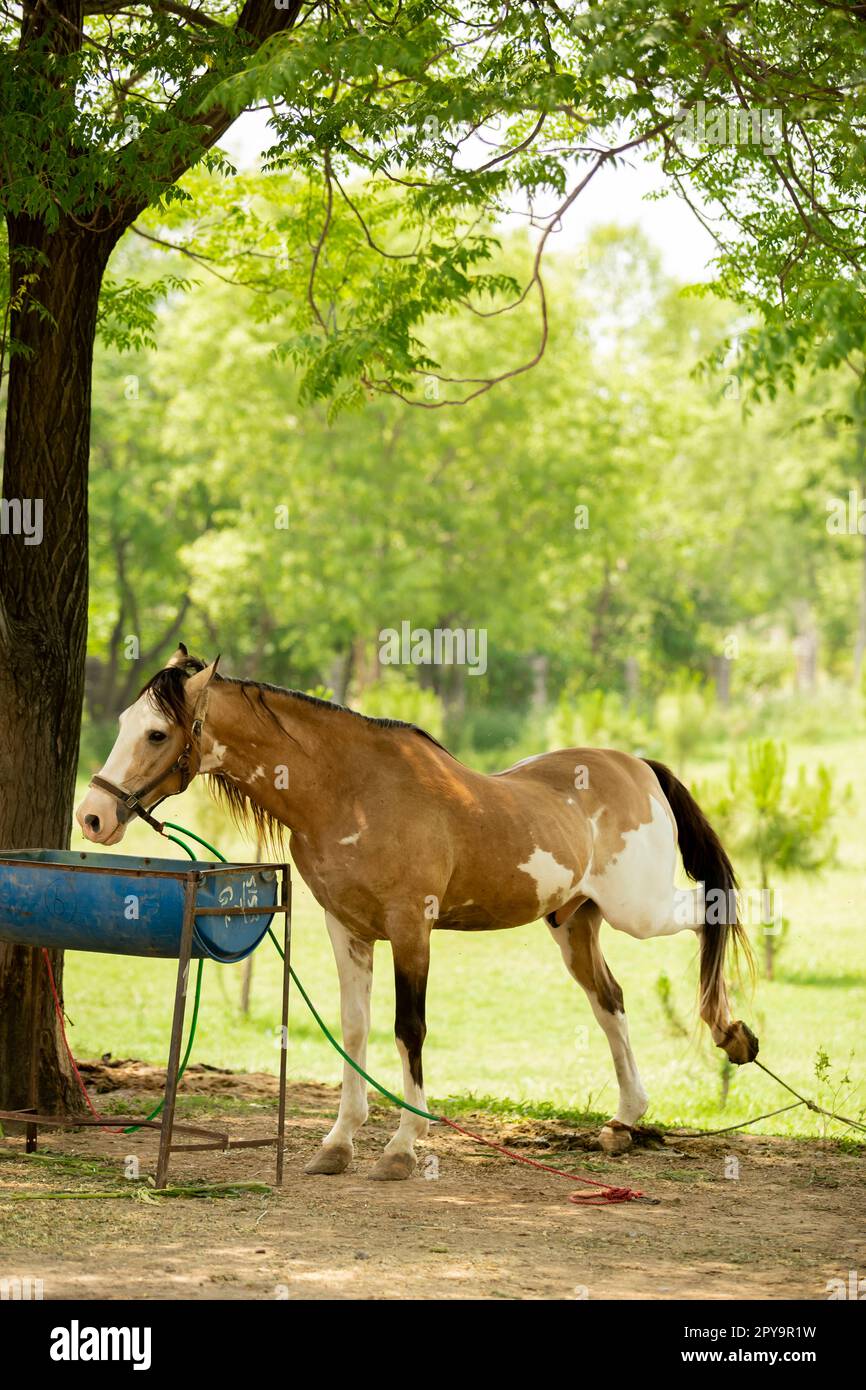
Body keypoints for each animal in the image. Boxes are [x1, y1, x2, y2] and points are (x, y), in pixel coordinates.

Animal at [76, 646, 758, 1180]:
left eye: (157, 734)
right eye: (125, 722)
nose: (93, 816)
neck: (350, 792)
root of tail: (638, 766)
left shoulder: (411, 928)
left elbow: (409, 1030)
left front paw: (403, 1148)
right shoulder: (347, 930)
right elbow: (355, 1029)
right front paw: (338, 1144)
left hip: (637, 910)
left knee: (711, 911)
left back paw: (731, 1034)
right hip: (574, 923)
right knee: (610, 1000)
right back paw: (625, 1119)